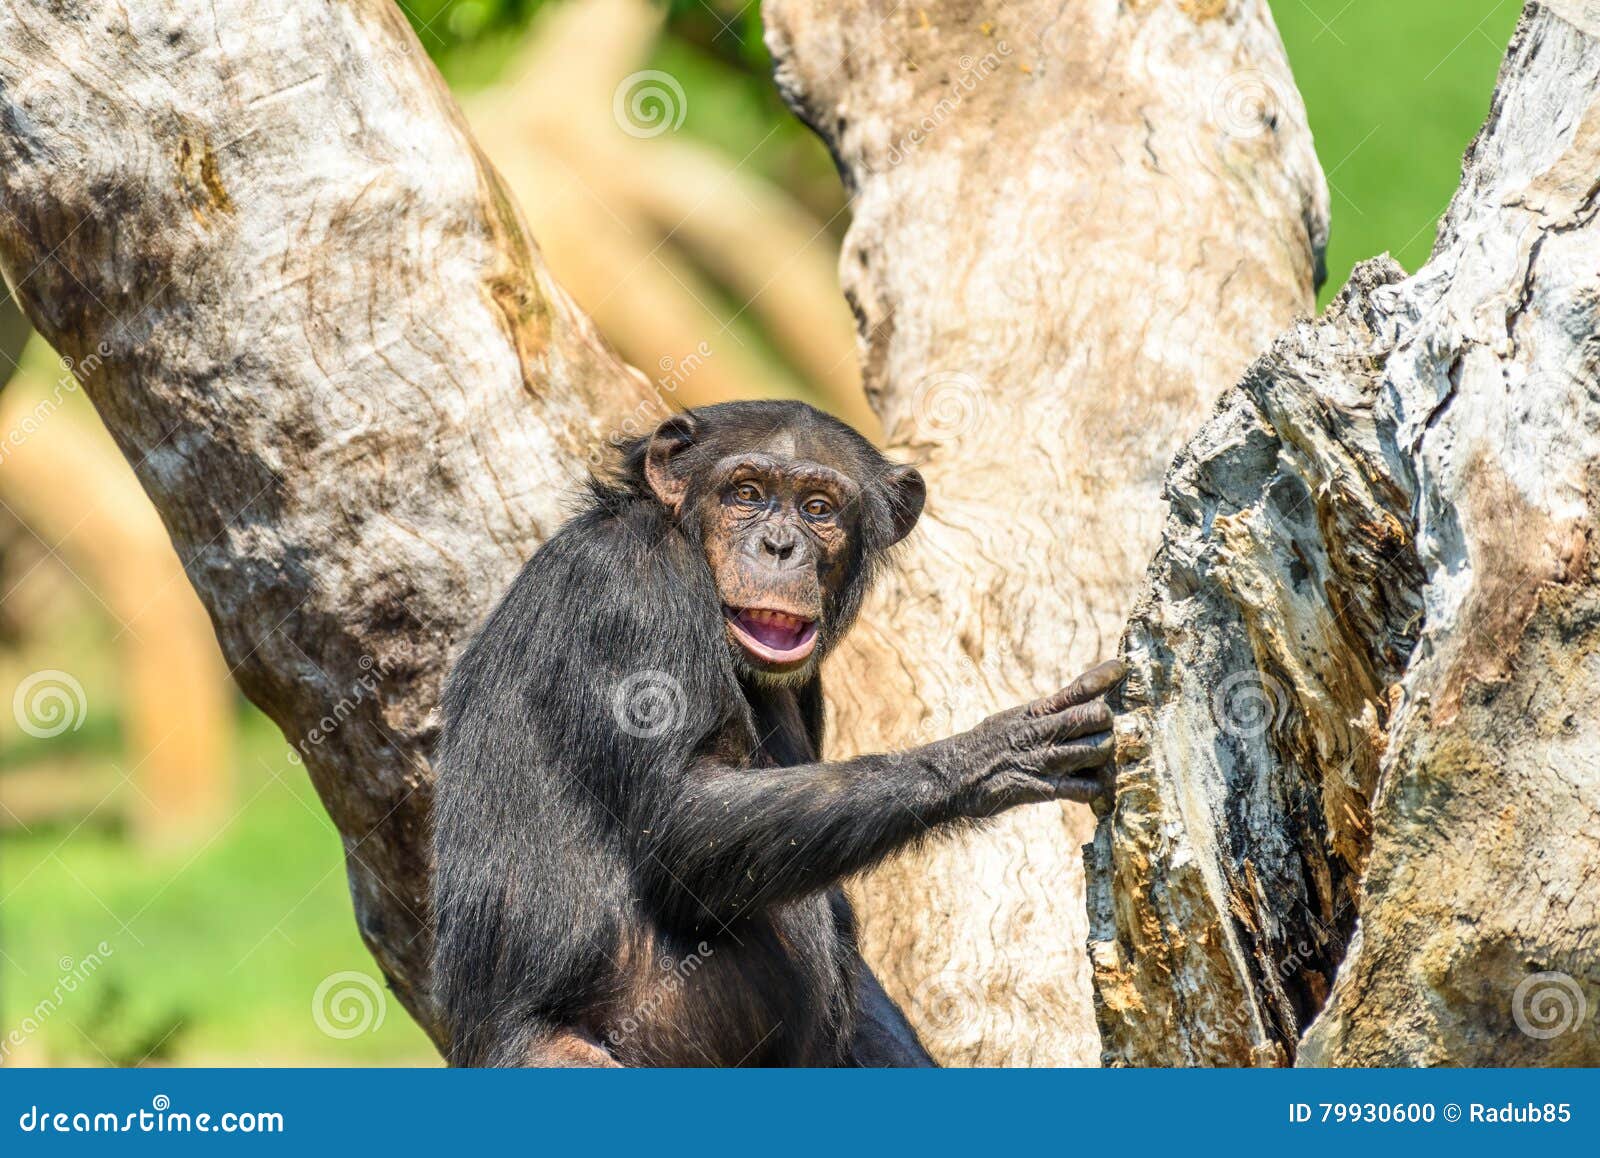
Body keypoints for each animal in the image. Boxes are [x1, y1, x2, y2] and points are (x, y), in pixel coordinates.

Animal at [430, 400, 1125, 1066]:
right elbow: (680, 816)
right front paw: (997, 751)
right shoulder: (631, 585)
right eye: (746, 492)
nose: (779, 545)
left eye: (818, 508)